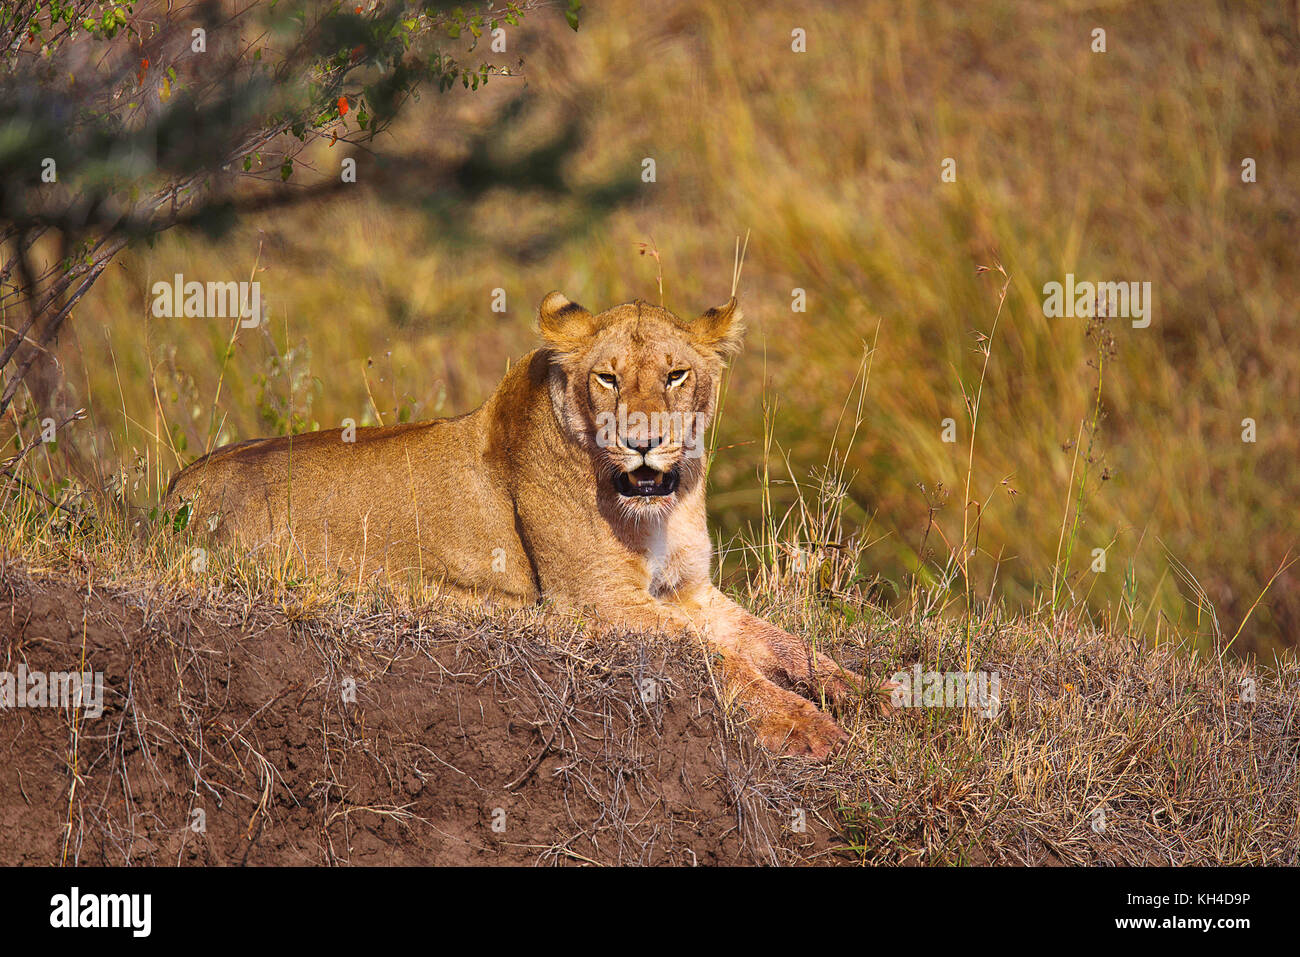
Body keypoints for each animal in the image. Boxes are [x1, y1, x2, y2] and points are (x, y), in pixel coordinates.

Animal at [165, 292, 885, 758]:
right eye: (608, 378)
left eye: (677, 375)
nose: (644, 443)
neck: (660, 507)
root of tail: (174, 490)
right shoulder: (595, 600)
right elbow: (715, 656)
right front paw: (807, 727)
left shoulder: (689, 589)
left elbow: (778, 641)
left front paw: (862, 690)